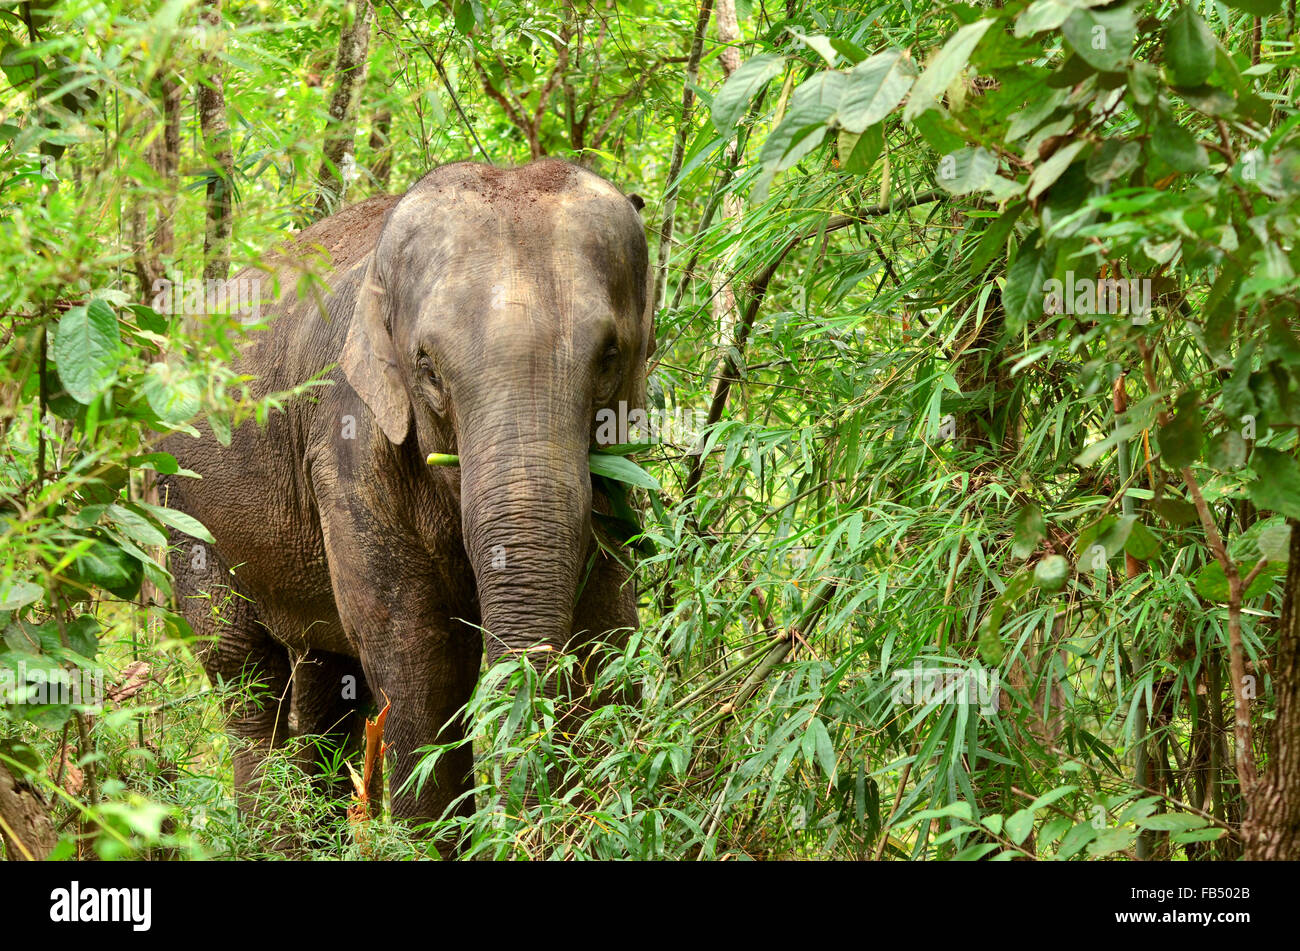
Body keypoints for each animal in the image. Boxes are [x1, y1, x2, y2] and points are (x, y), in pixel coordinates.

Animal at [158, 159, 653, 846]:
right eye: (427, 366)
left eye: (609, 355)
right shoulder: (348, 449)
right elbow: (420, 659)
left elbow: (606, 632)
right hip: (186, 509)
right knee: (245, 675)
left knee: (326, 681)